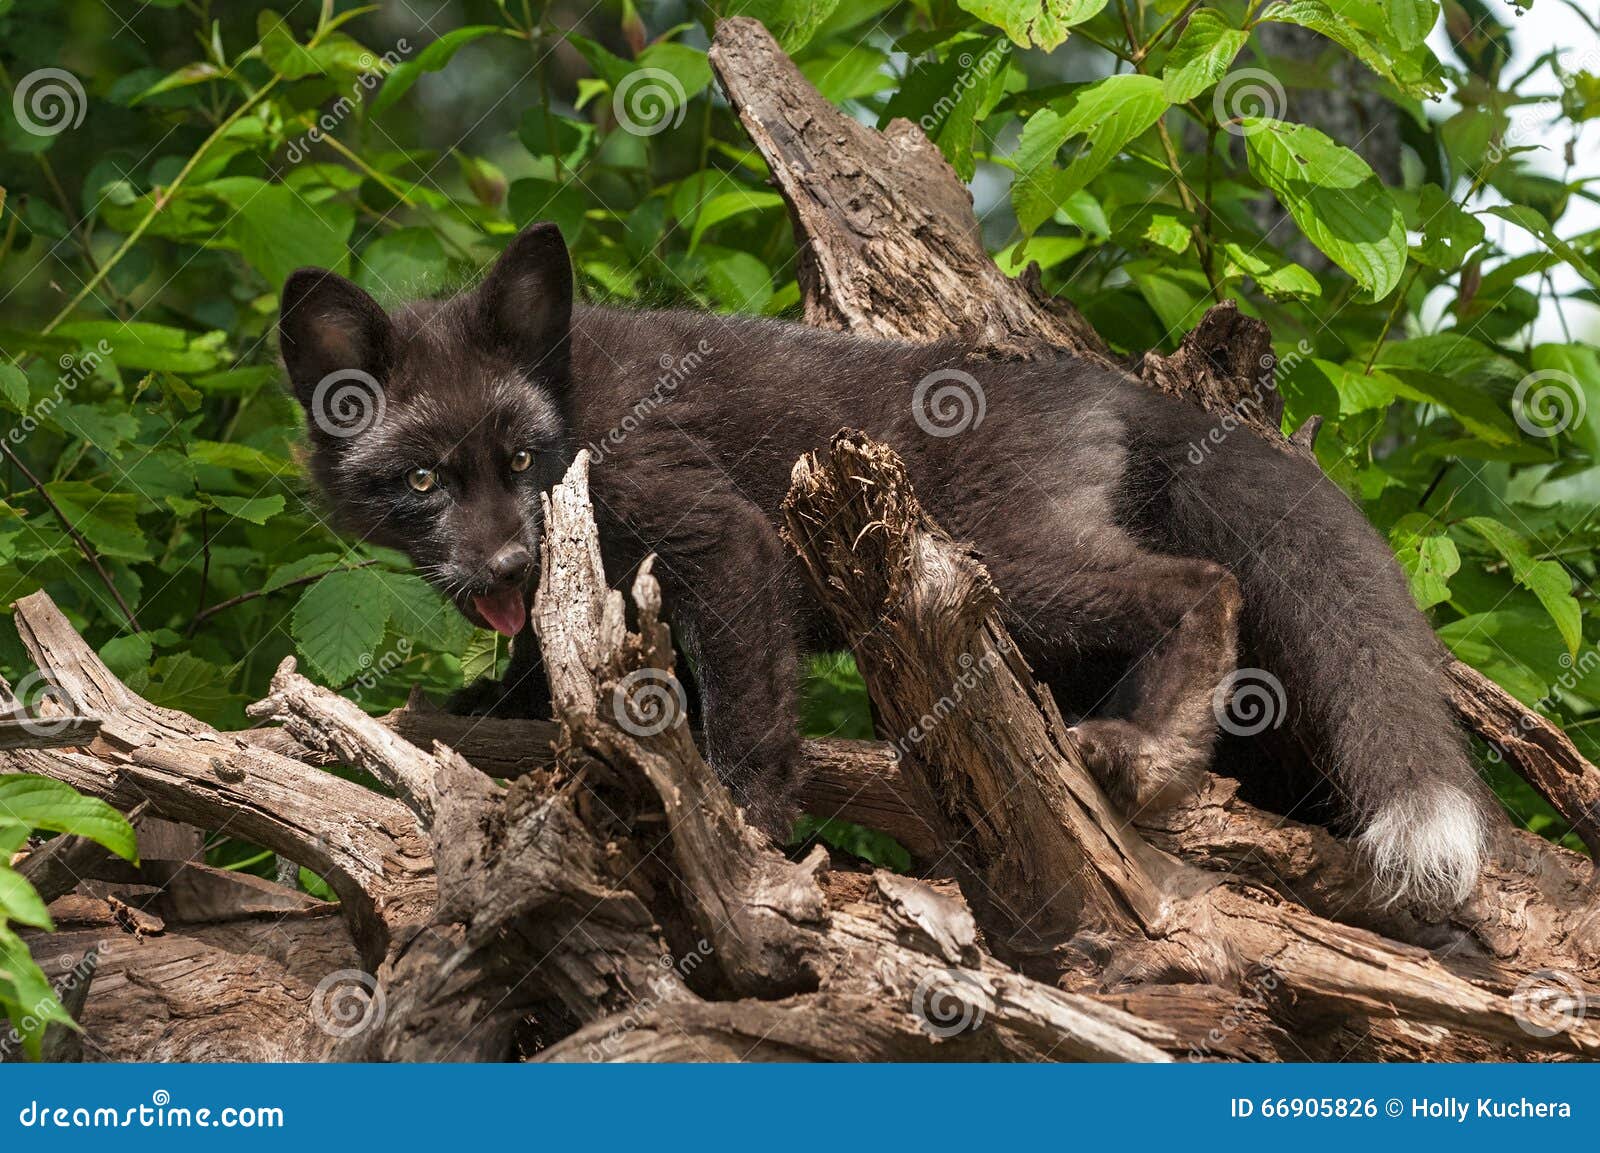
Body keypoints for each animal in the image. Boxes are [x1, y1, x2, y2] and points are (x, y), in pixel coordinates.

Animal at [278, 221, 1491, 909]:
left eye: (526, 458)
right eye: (421, 480)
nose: (504, 556)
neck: (580, 405)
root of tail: (1110, 390)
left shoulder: (720, 532)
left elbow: (748, 711)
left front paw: (747, 825)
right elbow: (550, 663)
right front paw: (495, 707)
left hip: (1015, 570)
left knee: (1208, 585)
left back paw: (1148, 756)